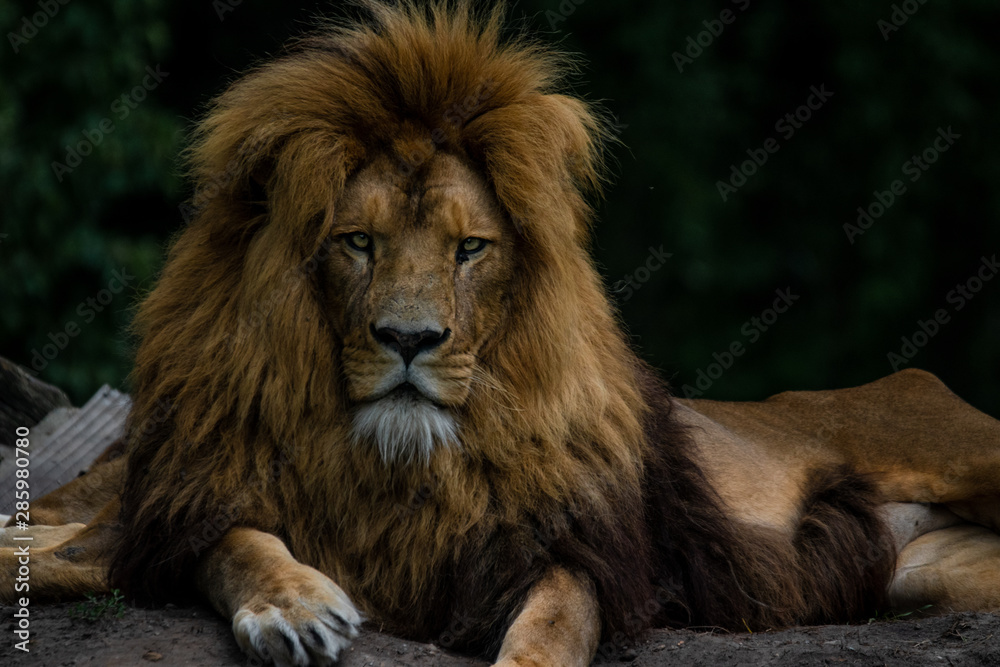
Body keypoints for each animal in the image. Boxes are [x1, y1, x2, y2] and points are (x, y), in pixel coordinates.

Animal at [5, 2, 1000, 666]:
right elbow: (231, 542)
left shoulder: (567, 547)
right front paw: (294, 605)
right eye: (357, 242)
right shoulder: (188, 504)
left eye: (470, 248)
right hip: (924, 575)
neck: (398, 463)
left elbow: (552, 626)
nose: (410, 339)